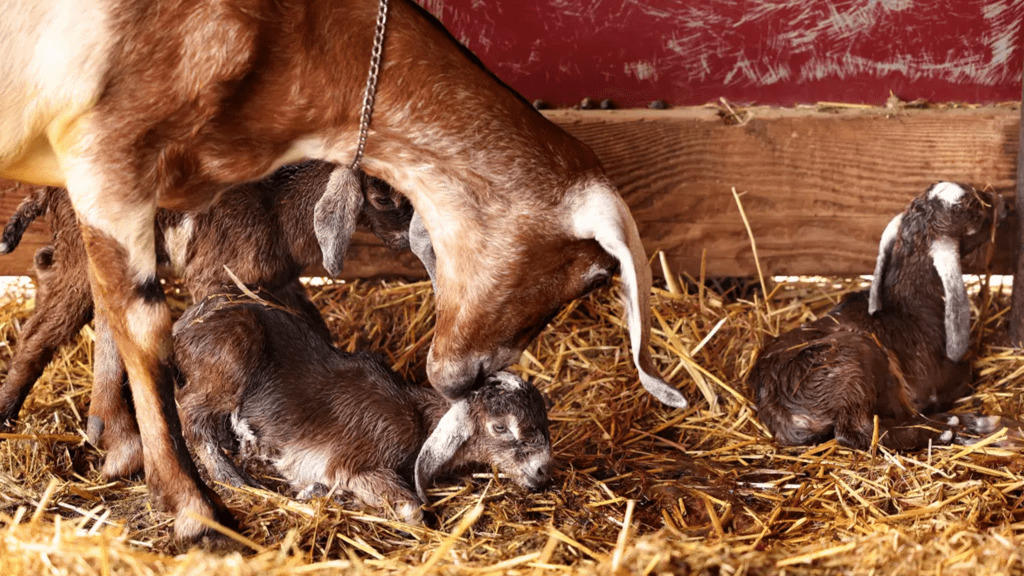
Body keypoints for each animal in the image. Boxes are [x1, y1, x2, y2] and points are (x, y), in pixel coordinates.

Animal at [0, 161, 413, 481]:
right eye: (382, 198)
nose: (405, 242)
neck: (276, 211)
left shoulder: (278, 284)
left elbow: (311, 324)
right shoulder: (214, 279)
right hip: (81, 256)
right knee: (40, 333)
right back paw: (9, 415)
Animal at [173, 289, 552, 525]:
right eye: (500, 426)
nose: (543, 471)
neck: (418, 418)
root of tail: (185, 324)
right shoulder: (352, 465)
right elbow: (411, 510)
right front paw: (326, 495)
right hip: (233, 356)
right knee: (189, 413)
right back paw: (233, 478)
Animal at [748, 182, 1022, 451]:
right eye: (977, 210)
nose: (1004, 204)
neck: (909, 305)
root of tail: (784, 414)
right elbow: (965, 377)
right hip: (857, 359)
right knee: (856, 432)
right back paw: (949, 427)